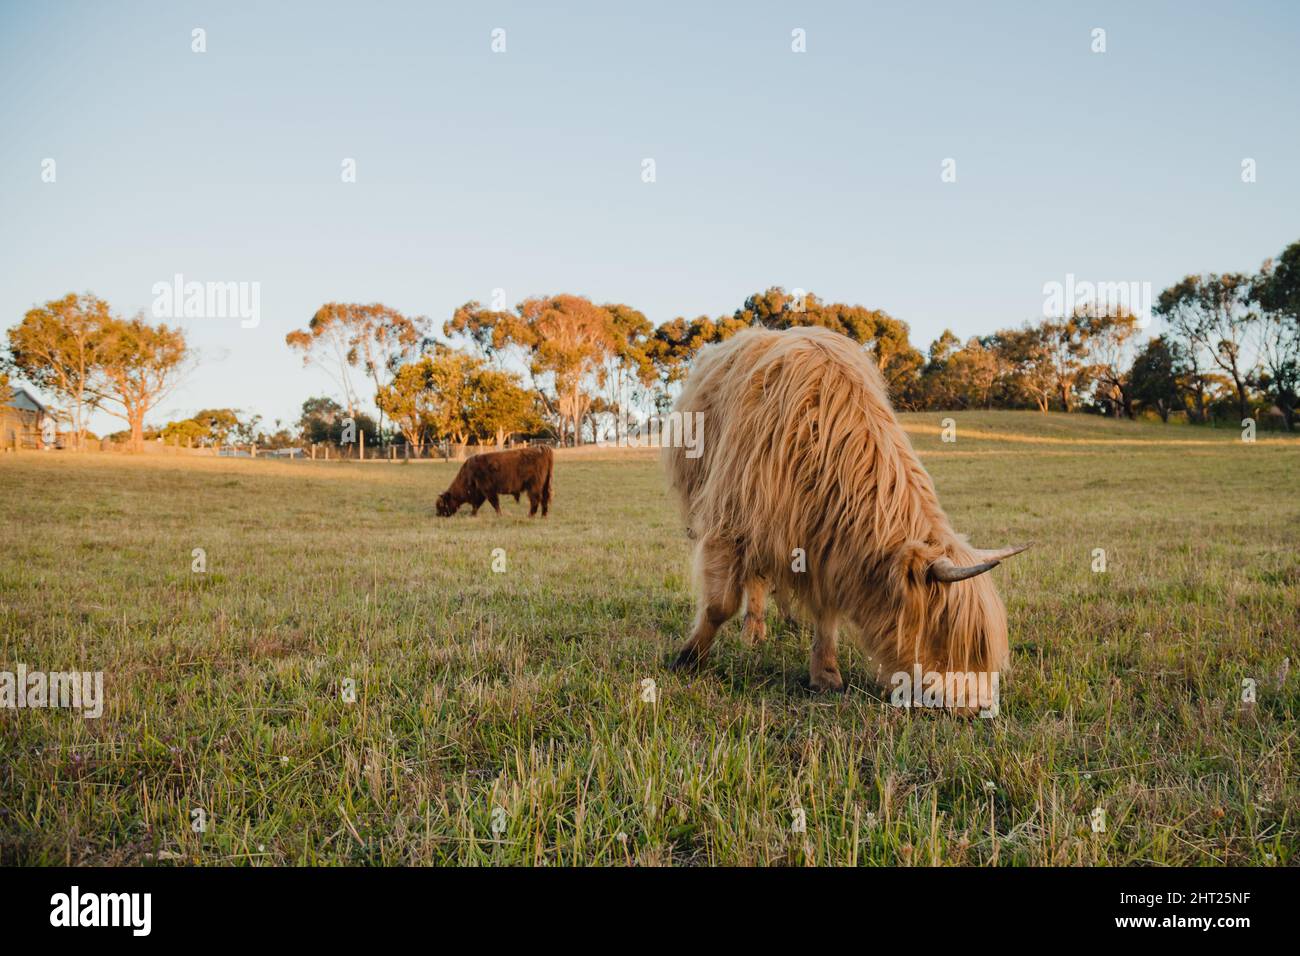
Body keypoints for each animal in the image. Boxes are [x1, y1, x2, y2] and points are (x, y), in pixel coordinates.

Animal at [662, 326, 1027, 711]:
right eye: (944, 635)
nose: (979, 706)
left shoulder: (824, 542)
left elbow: (826, 611)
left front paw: (825, 676)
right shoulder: (730, 520)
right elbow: (720, 605)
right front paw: (688, 659)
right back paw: (753, 632)